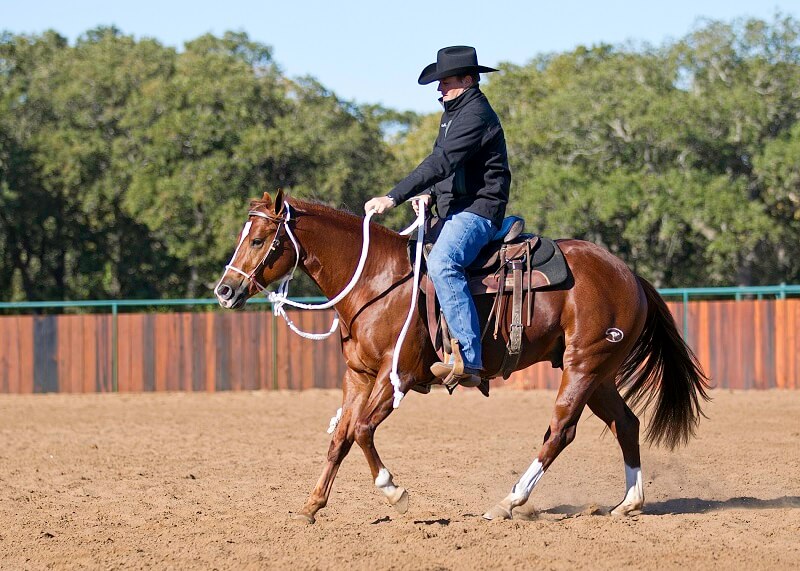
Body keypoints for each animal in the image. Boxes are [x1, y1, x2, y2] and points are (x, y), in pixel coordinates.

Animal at [214, 190, 710, 523]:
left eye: (258, 240)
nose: (224, 290)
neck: (379, 281)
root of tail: (630, 275)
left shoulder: (398, 375)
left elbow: (362, 430)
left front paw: (393, 491)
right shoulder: (358, 375)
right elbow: (341, 437)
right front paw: (312, 505)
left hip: (583, 367)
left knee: (561, 431)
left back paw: (510, 501)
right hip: (600, 374)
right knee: (626, 422)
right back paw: (629, 502)